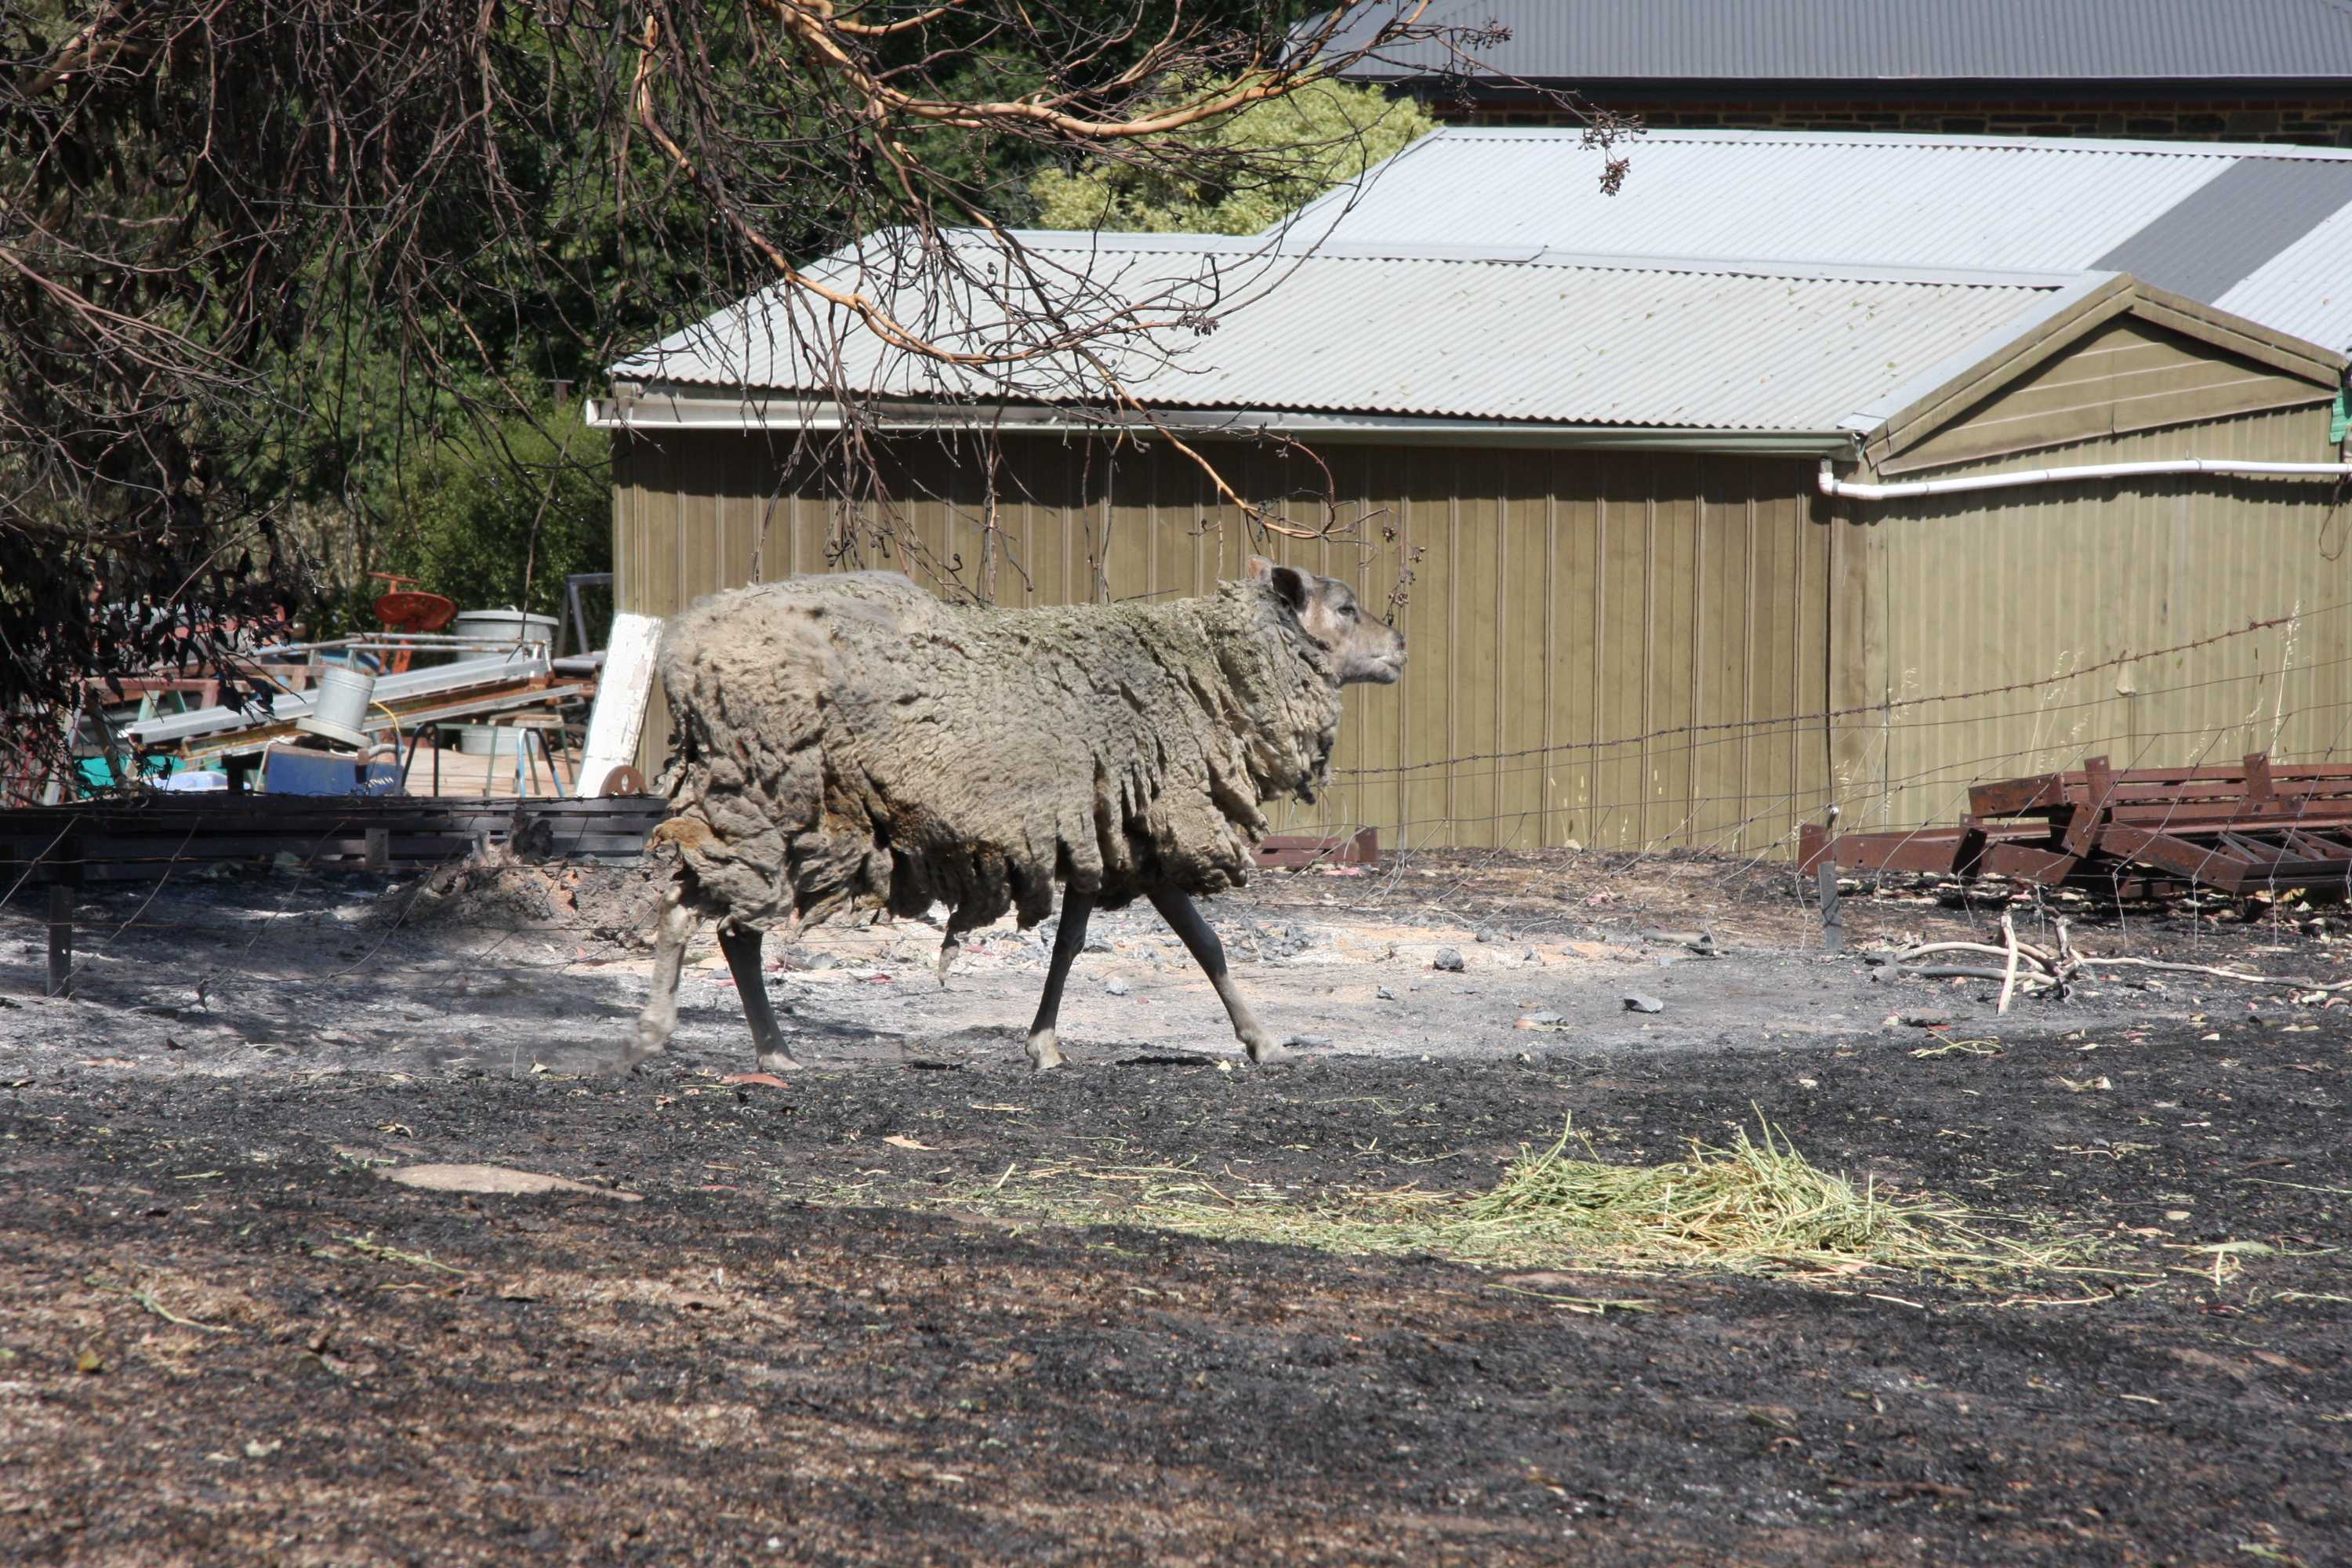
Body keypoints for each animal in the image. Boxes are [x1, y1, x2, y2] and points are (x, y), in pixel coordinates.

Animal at [619, 556, 1405, 1072]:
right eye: (1344, 608)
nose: (1400, 647)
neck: (1209, 673)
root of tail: (684, 648)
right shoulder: (1152, 826)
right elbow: (1207, 945)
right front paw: (1263, 1041)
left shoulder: (1102, 833)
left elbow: (1072, 946)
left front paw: (1045, 1044)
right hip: (764, 798)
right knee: (707, 920)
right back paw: (679, 1038)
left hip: (754, 804)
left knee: (726, 926)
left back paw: (764, 1051)